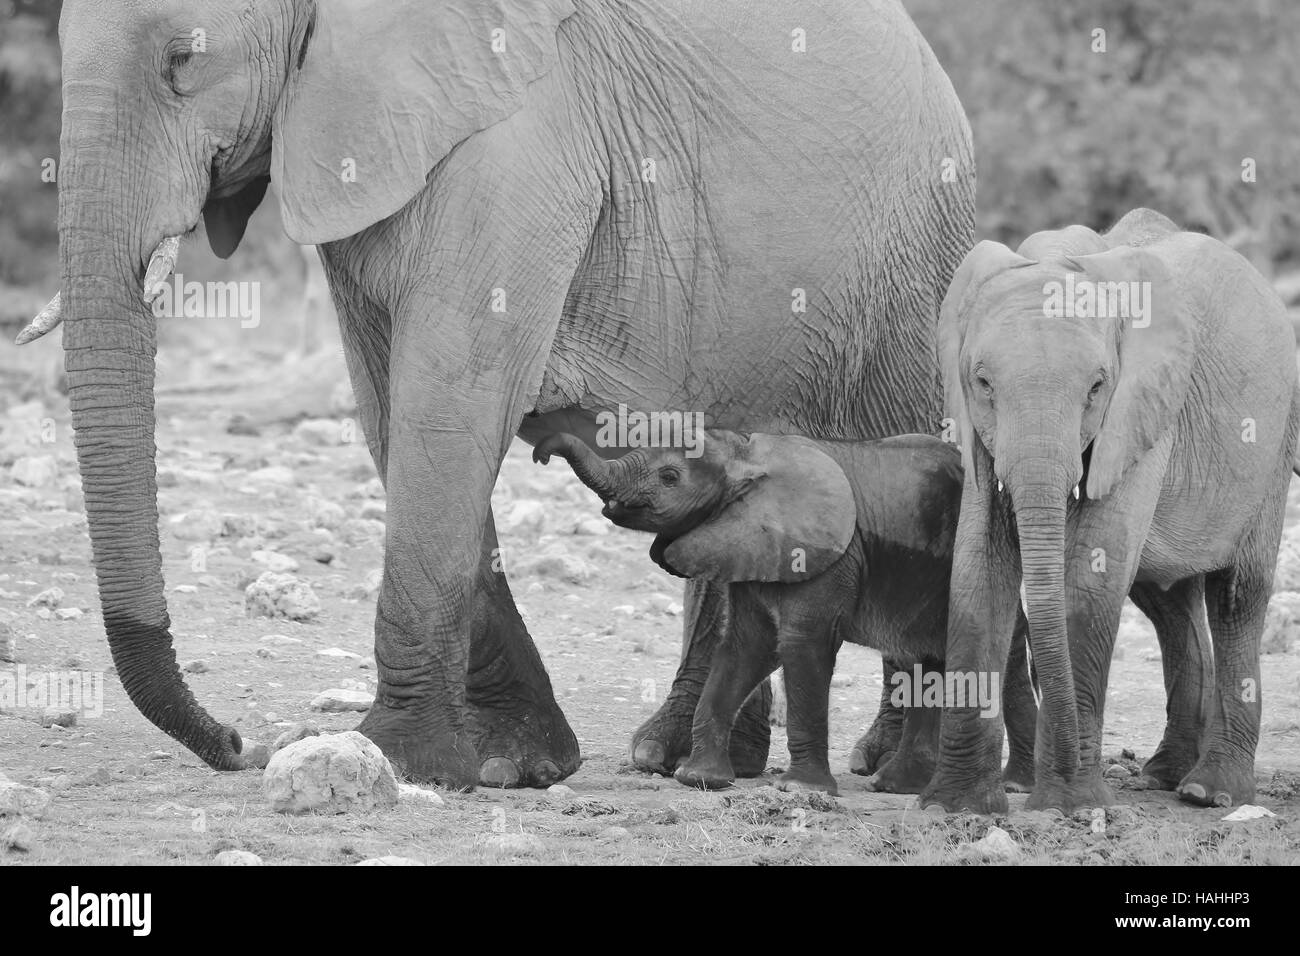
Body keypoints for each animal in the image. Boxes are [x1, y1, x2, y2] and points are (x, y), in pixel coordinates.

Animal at [33, 0, 974, 788]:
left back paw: (883, 768)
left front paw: (397, 757)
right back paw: (685, 763)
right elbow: (391, 410)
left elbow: (450, 399)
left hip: (914, 270)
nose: (237, 743)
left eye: (182, 59)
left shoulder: (523, 146)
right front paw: (516, 765)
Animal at [532, 430, 1039, 796]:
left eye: (670, 477)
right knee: (924, 663)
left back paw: (1013, 786)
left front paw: (800, 790)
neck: (743, 456)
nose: (540, 455)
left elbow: (802, 645)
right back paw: (895, 786)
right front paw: (700, 780)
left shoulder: (828, 558)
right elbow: (744, 647)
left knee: (1005, 663)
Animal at [922, 208, 1300, 814]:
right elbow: (977, 564)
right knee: (1167, 600)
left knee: (1237, 595)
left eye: (1097, 387)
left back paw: (1210, 793)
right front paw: (953, 806)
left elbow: (1091, 573)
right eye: (982, 383)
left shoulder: (1143, 410)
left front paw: (1072, 805)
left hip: (1274, 441)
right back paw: (1165, 776)